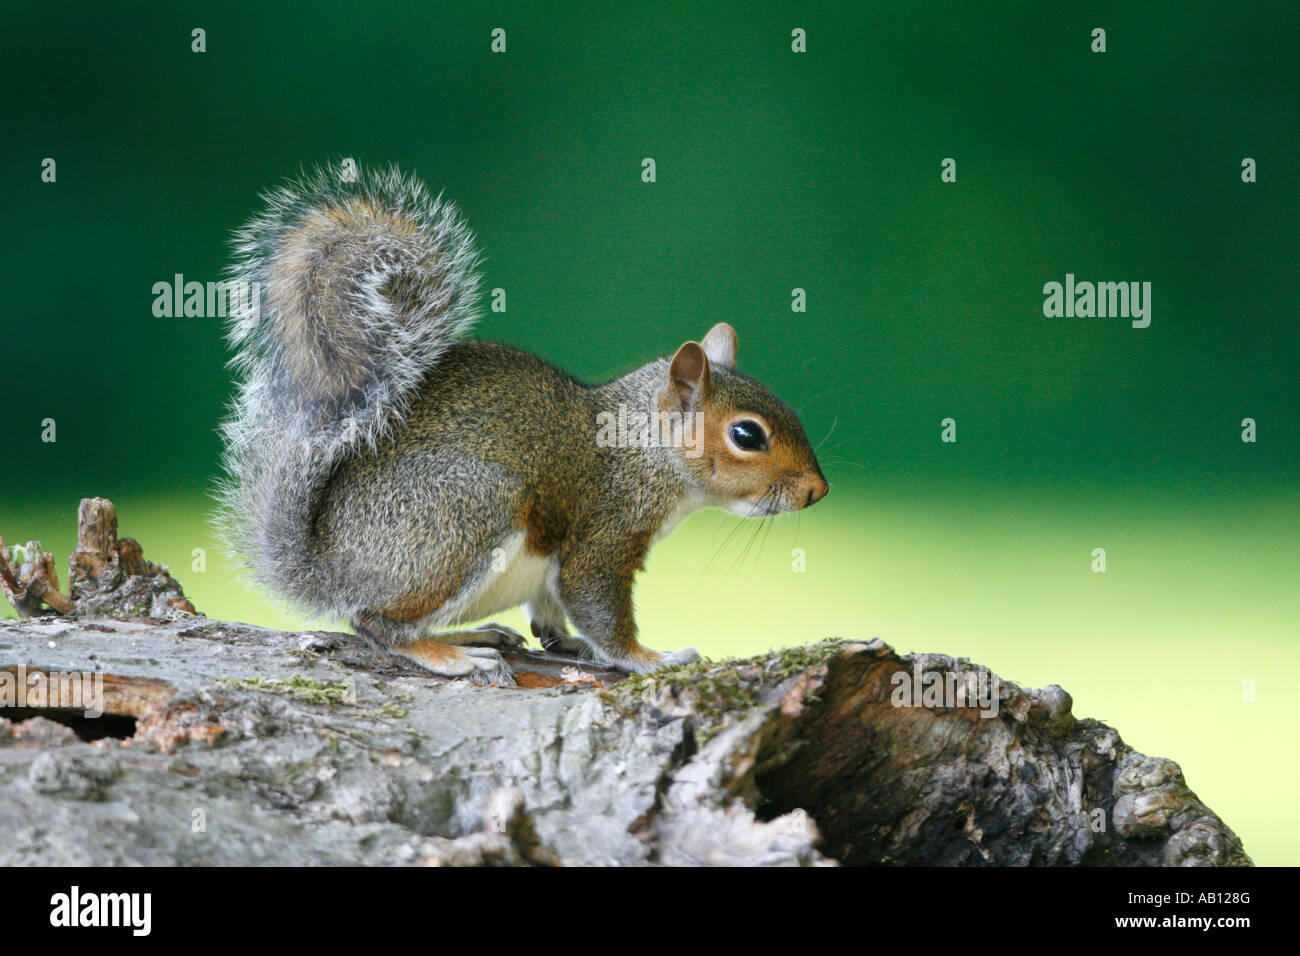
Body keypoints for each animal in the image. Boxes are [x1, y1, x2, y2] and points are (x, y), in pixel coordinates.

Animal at [217, 164, 829, 687]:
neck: (642, 448)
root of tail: (325, 566)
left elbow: (552, 615)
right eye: (747, 435)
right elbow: (597, 605)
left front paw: (567, 642)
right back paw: (451, 655)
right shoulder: (605, 530)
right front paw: (651, 659)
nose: (818, 491)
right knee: (376, 622)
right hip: (463, 515)